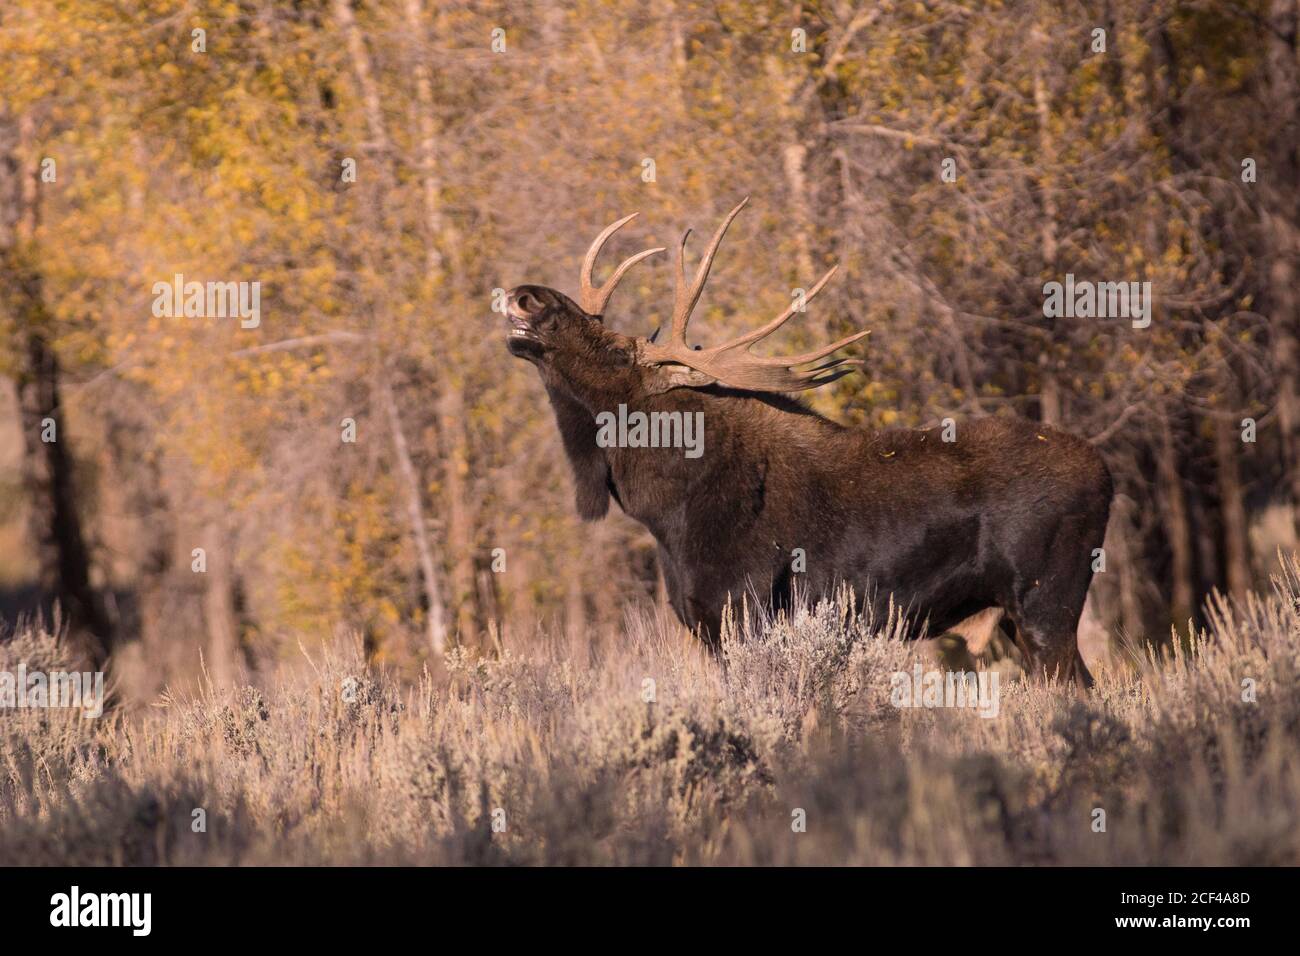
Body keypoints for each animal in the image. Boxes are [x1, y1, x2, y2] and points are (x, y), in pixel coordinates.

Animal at [505, 199, 1112, 687]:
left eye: (616, 351)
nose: (528, 295)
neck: (669, 509)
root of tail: (1109, 475)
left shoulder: (746, 610)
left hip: (1046, 605)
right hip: (1014, 615)